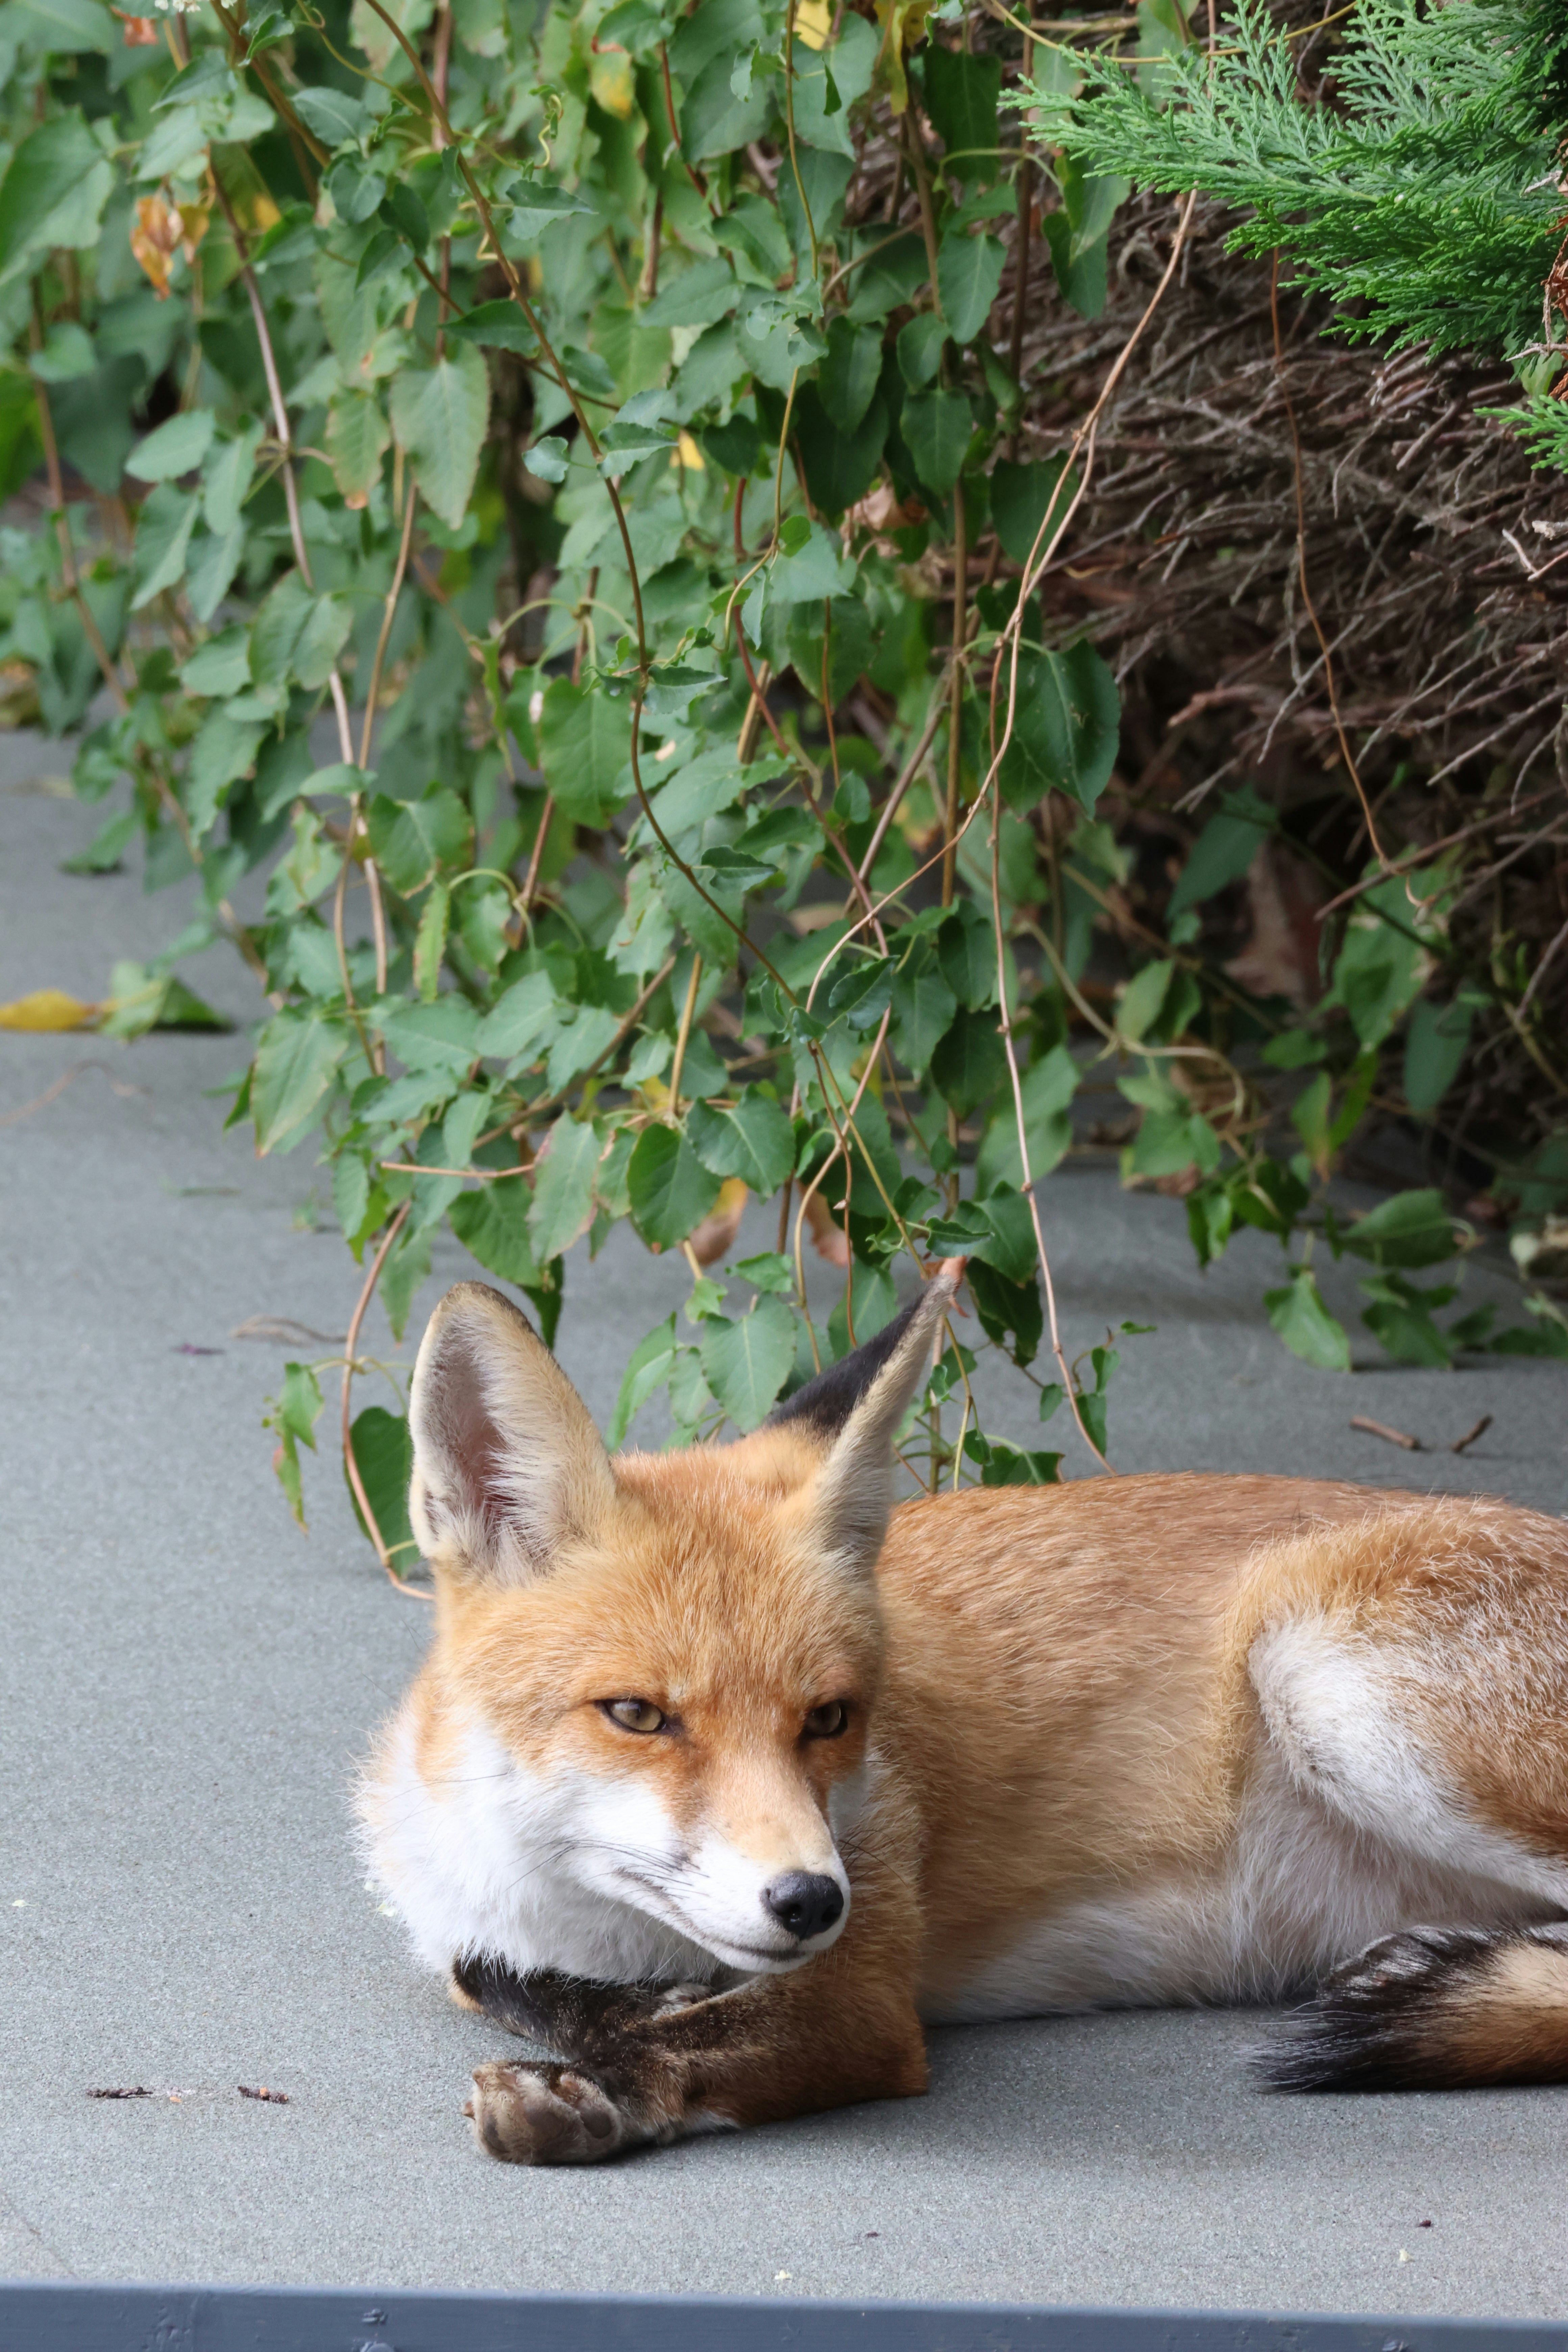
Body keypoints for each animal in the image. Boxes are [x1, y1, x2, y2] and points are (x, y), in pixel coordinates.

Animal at [360, 1264, 1568, 2165]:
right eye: (637, 1715)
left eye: (830, 1717)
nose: (809, 1900)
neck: (578, 1913)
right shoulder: (473, 1932)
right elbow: (514, 1981)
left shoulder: (865, 1989)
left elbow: (721, 2031)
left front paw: (595, 2091)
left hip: (1328, 1678)